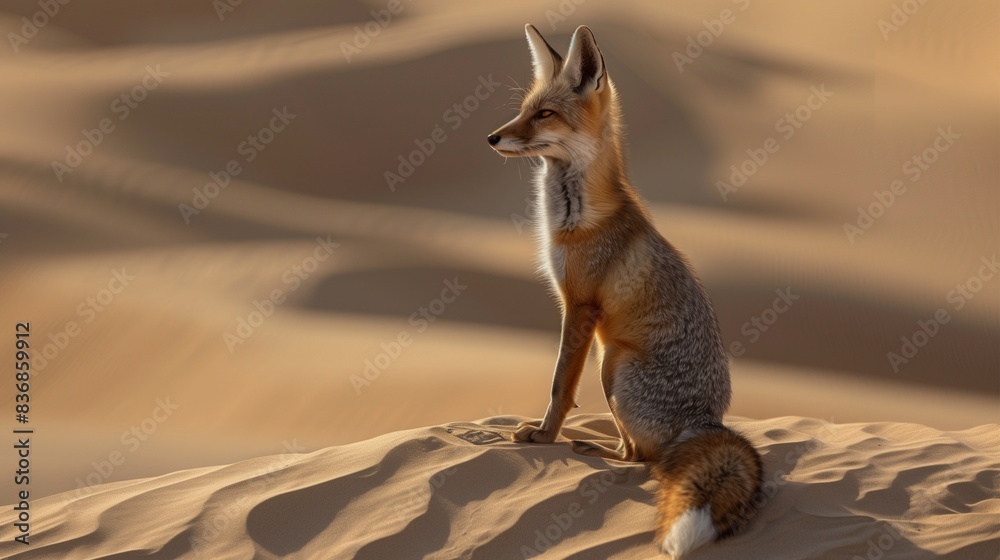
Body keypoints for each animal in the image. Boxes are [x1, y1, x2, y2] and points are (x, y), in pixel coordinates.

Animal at [487, 24, 763, 558]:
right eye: (524, 108)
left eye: (545, 114)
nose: (491, 136)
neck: (572, 221)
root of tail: (710, 420)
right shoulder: (574, 307)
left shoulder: (579, 306)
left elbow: (559, 386)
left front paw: (543, 437)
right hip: (607, 359)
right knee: (641, 453)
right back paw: (602, 446)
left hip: (612, 364)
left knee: (645, 459)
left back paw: (598, 449)